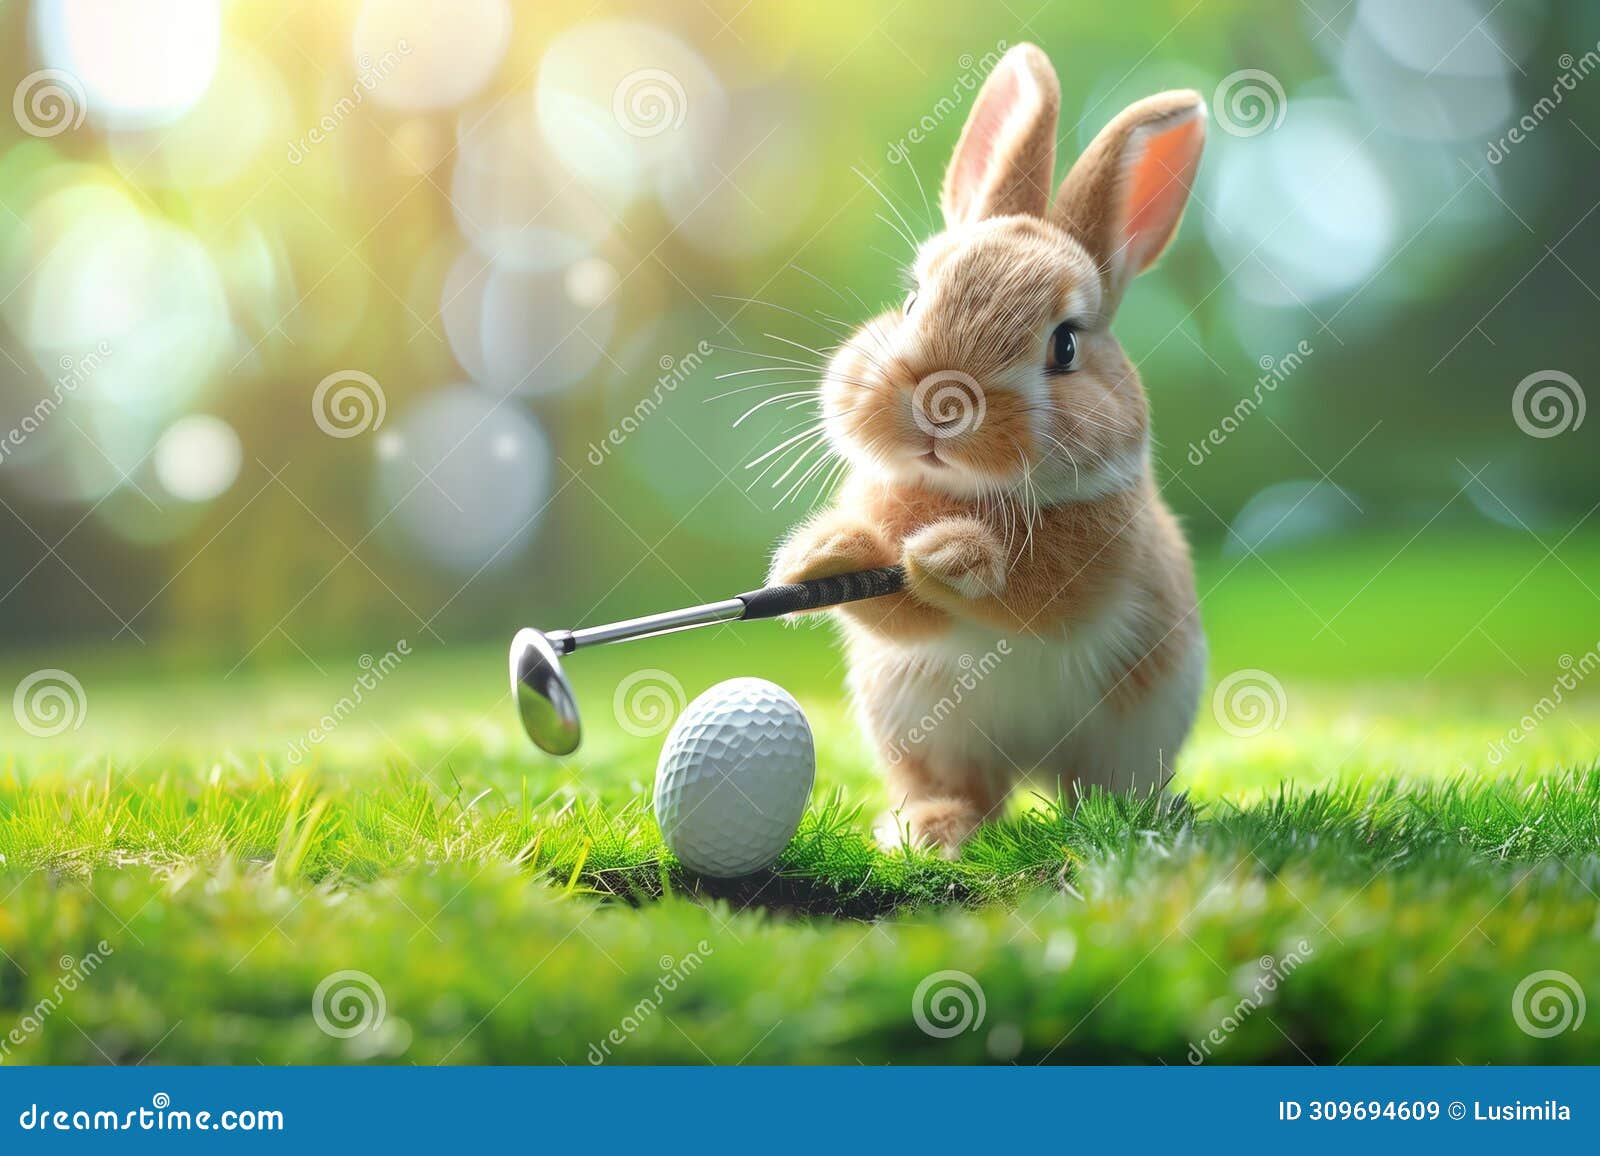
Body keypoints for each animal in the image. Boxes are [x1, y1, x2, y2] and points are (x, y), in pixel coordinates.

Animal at [766, 43, 1208, 854]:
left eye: (1065, 345)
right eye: (912, 300)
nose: (944, 401)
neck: (966, 494)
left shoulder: (1095, 567)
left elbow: (1029, 594)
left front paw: (950, 556)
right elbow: (900, 614)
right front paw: (828, 555)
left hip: (1130, 737)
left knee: (1097, 793)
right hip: (921, 730)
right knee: (969, 790)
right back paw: (934, 830)